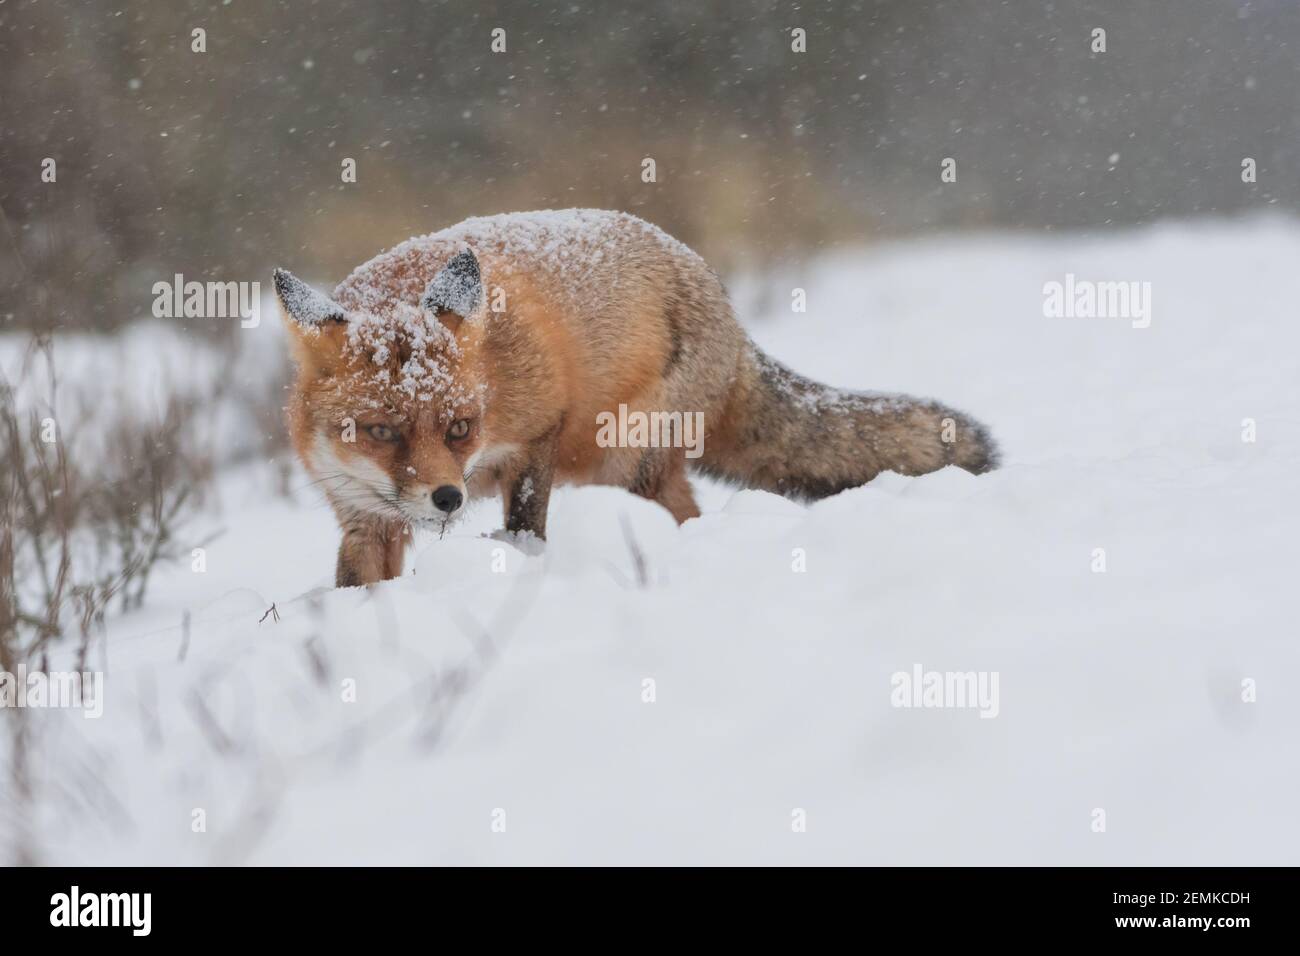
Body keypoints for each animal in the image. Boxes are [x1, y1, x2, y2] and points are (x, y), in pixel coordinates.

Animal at [275, 209, 998, 587]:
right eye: (380, 431)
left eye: (459, 426)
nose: (448, 498)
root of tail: (728, 311)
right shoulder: (361, 511)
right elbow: (360, 578)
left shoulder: (537, 436)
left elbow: (526, 524)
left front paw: (524, 565)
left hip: (626, 458)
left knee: (684, 513)